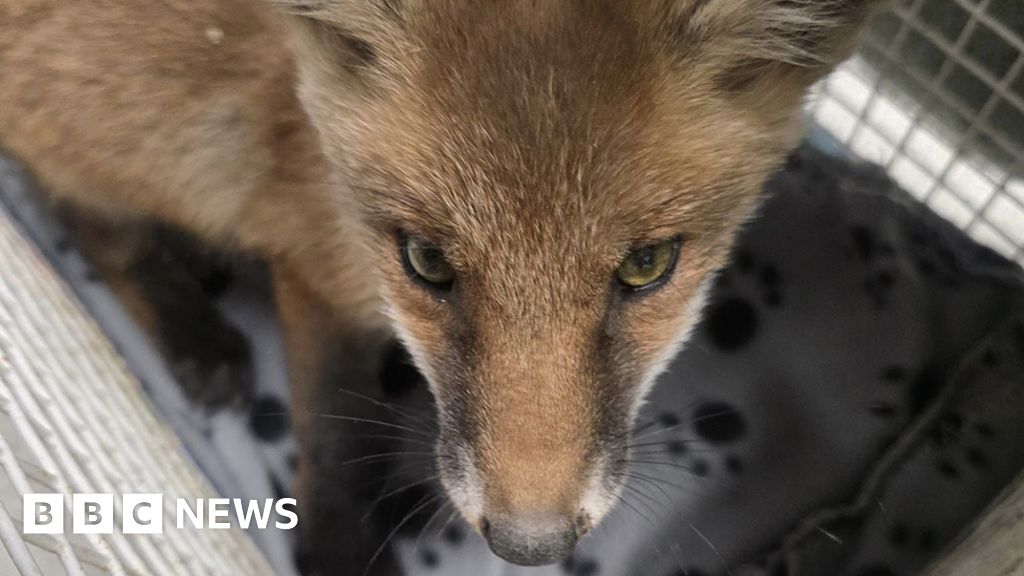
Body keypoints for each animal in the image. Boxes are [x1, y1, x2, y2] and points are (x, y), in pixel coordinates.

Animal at [0, 0, 883, 572]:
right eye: (426, 260)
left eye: (647, 266)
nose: (531, 546)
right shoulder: (318, 272)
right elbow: (334, 434)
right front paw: (339, 552)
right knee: (81, 216)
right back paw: (193, 332)